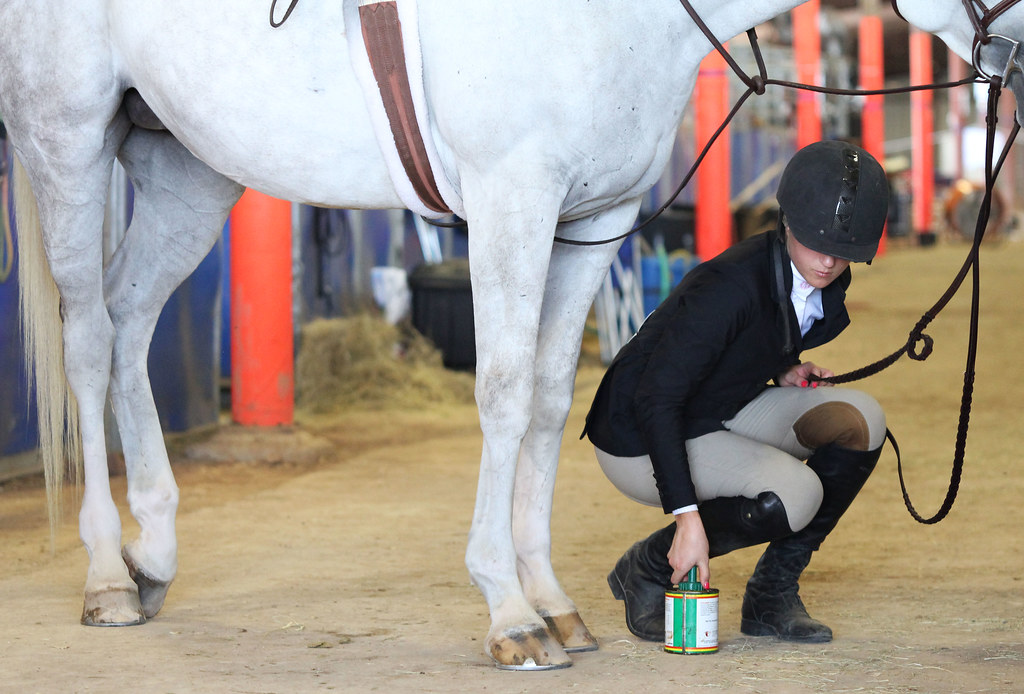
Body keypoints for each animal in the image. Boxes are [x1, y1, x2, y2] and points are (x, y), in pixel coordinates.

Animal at [1, 0, 1022, 671]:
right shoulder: (510, 203)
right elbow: (499, 394)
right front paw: (509, 614)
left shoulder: (588, 222)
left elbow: (547, 400)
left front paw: (557, 607)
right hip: (68, 143)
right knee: (90, 337)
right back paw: (108, 578)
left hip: (187, 169)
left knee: (132, 325)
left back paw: (155, 558)